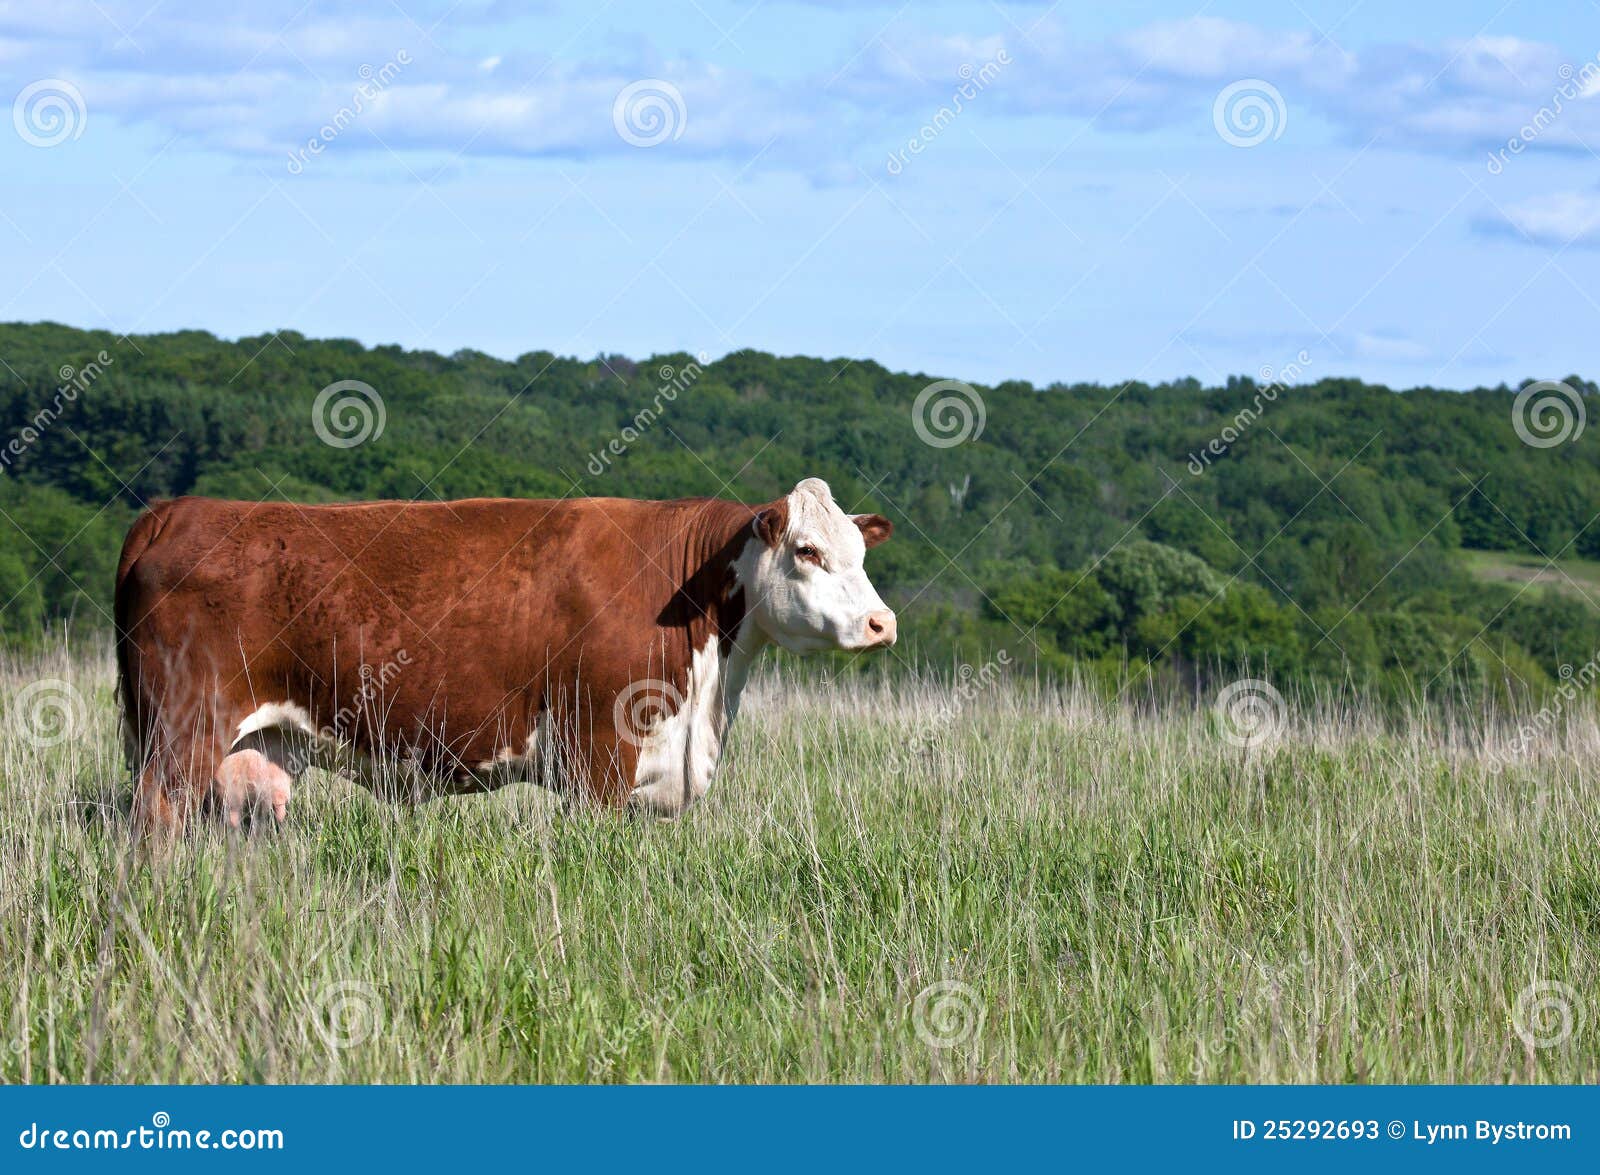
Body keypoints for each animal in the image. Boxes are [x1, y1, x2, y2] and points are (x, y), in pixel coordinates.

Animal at [115, 477, 895, 834]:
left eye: (859, 552)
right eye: (807, 550)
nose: (882, 623)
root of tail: (182, 509)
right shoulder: (597, 754)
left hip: (255, 747)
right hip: (182, 728)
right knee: (155, 818)